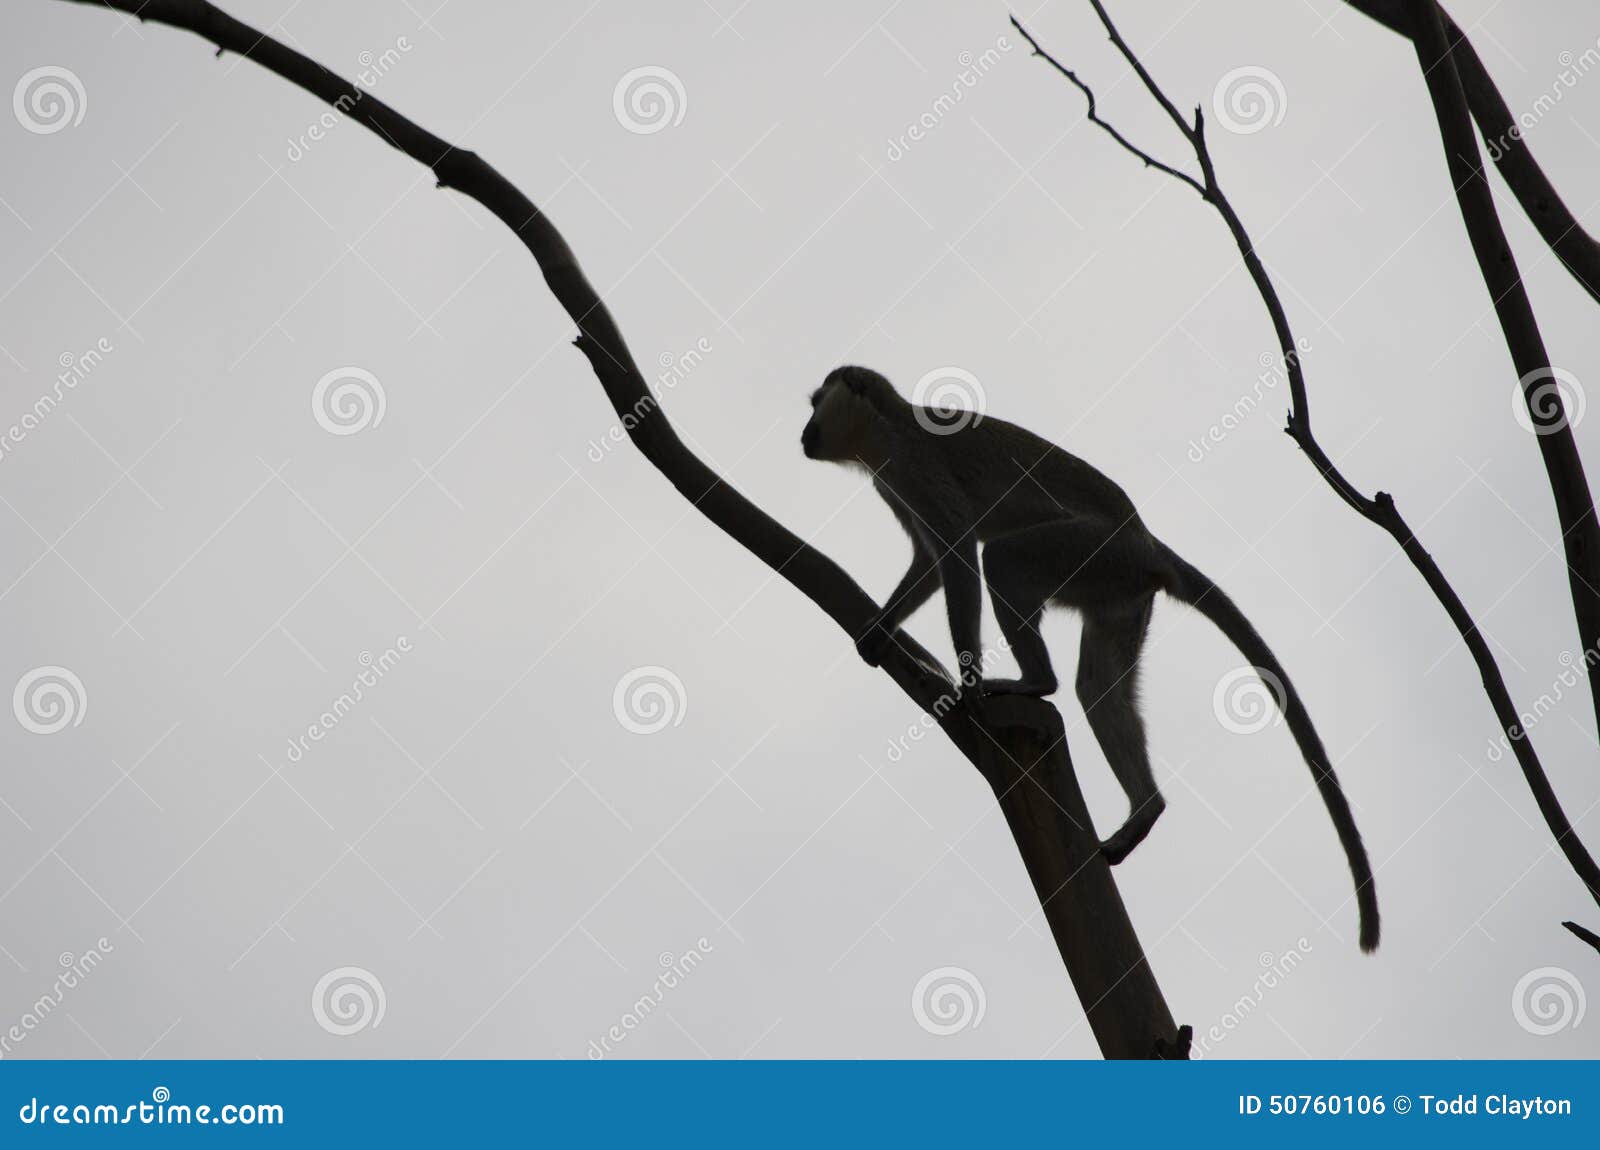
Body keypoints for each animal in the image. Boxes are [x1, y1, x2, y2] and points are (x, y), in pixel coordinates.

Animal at [801, 365, 1379, 952]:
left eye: (816, 404)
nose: (804, 434)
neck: (886, 429)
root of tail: (1148, 544)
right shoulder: (893, 483)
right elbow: (929, 563)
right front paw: (878, 630)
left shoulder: (915, 466)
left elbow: (958, 554)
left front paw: (968, 683)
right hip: (1120, 592)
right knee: (1098, 687)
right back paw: (1144, 809)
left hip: (1094, 552)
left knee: (1004, 562)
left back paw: (1037, 682)